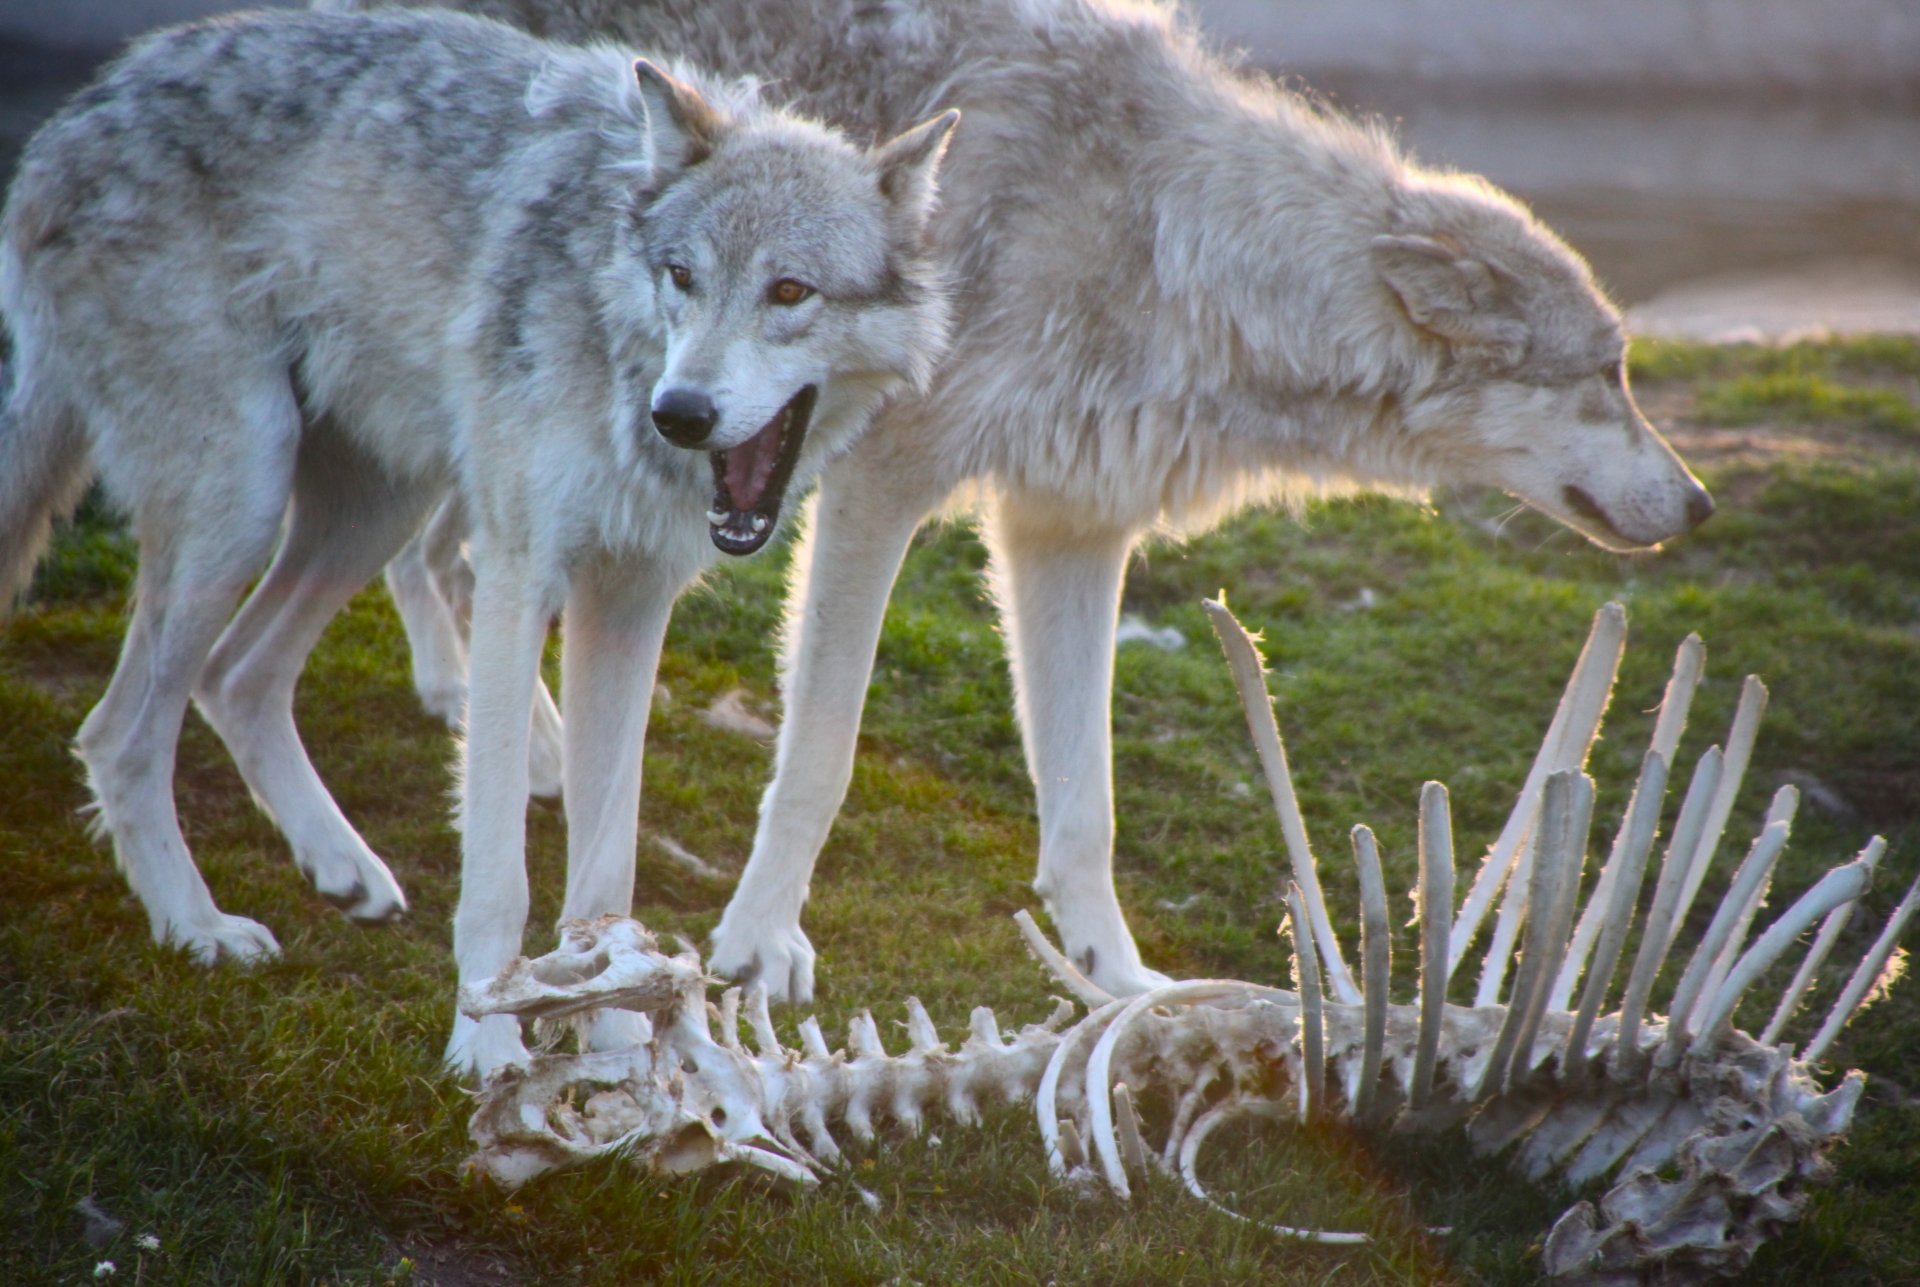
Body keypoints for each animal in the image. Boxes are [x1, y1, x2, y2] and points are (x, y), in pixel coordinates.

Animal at [0, 6, 957, 1076]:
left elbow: (609, 866)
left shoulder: (628, 606)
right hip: (243, 502)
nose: (681, 413)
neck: (614, 340)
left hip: (369, 513)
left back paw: (342, 868)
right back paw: (197, 927)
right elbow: (502, 872)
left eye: (789, 291)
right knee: (118, 732)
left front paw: (617, 1040)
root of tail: (76, 114)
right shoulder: (514, 578)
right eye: (682, 277)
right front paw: (489, 1044)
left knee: (236, 675)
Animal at [338, 0, 1713, 1003]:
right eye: (1608, 376)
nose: (1699, 506)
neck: (1166, 246)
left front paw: (1119, 981)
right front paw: (756, 944)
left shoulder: (1069, 531)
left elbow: (1084, 808)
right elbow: (822, 756)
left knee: (439, 555)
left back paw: (497, 726)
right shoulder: (879, 492)